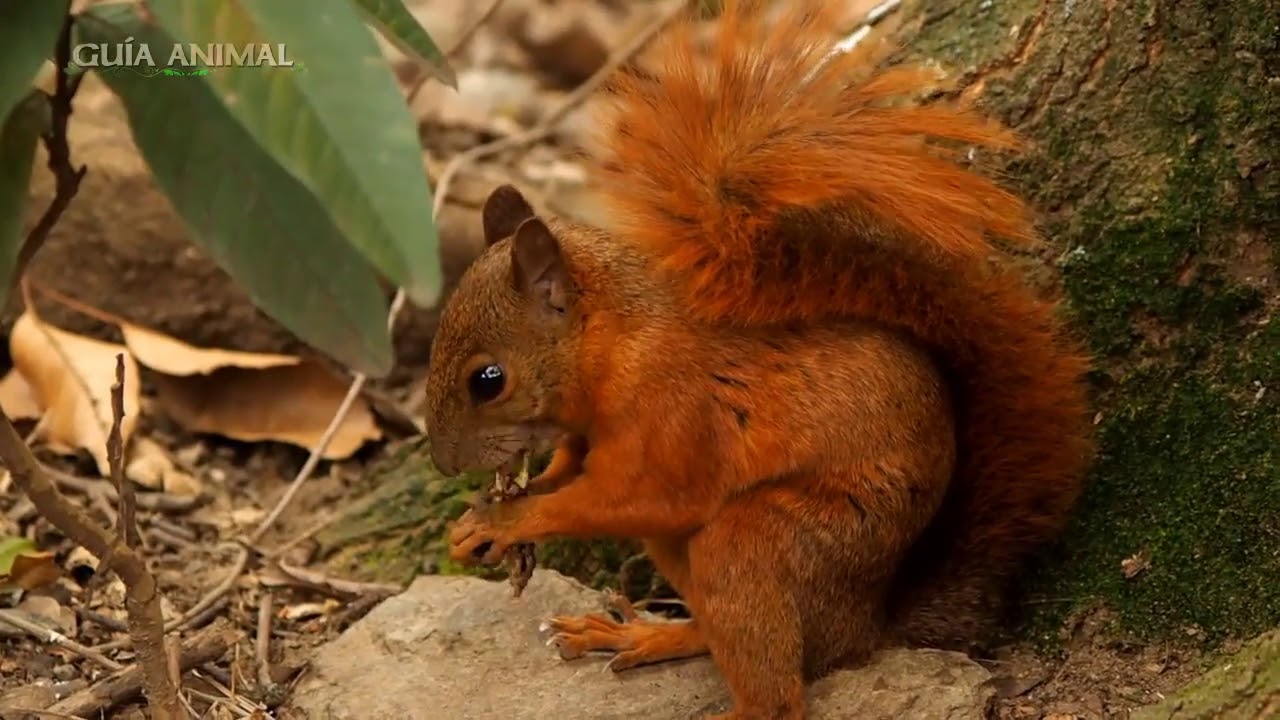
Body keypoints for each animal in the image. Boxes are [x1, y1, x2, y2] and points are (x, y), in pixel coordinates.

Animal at [422, 1, 1094, 718]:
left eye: (488, 380)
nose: (445, 465)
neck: (618, 342)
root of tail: (866, 625)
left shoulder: (675, 419)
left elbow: (629, 499)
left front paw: (513, 516)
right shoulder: (587, 433)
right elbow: (568, 470)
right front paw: (475, 524)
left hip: (769, 538)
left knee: (775, 686)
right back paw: (648, 635)